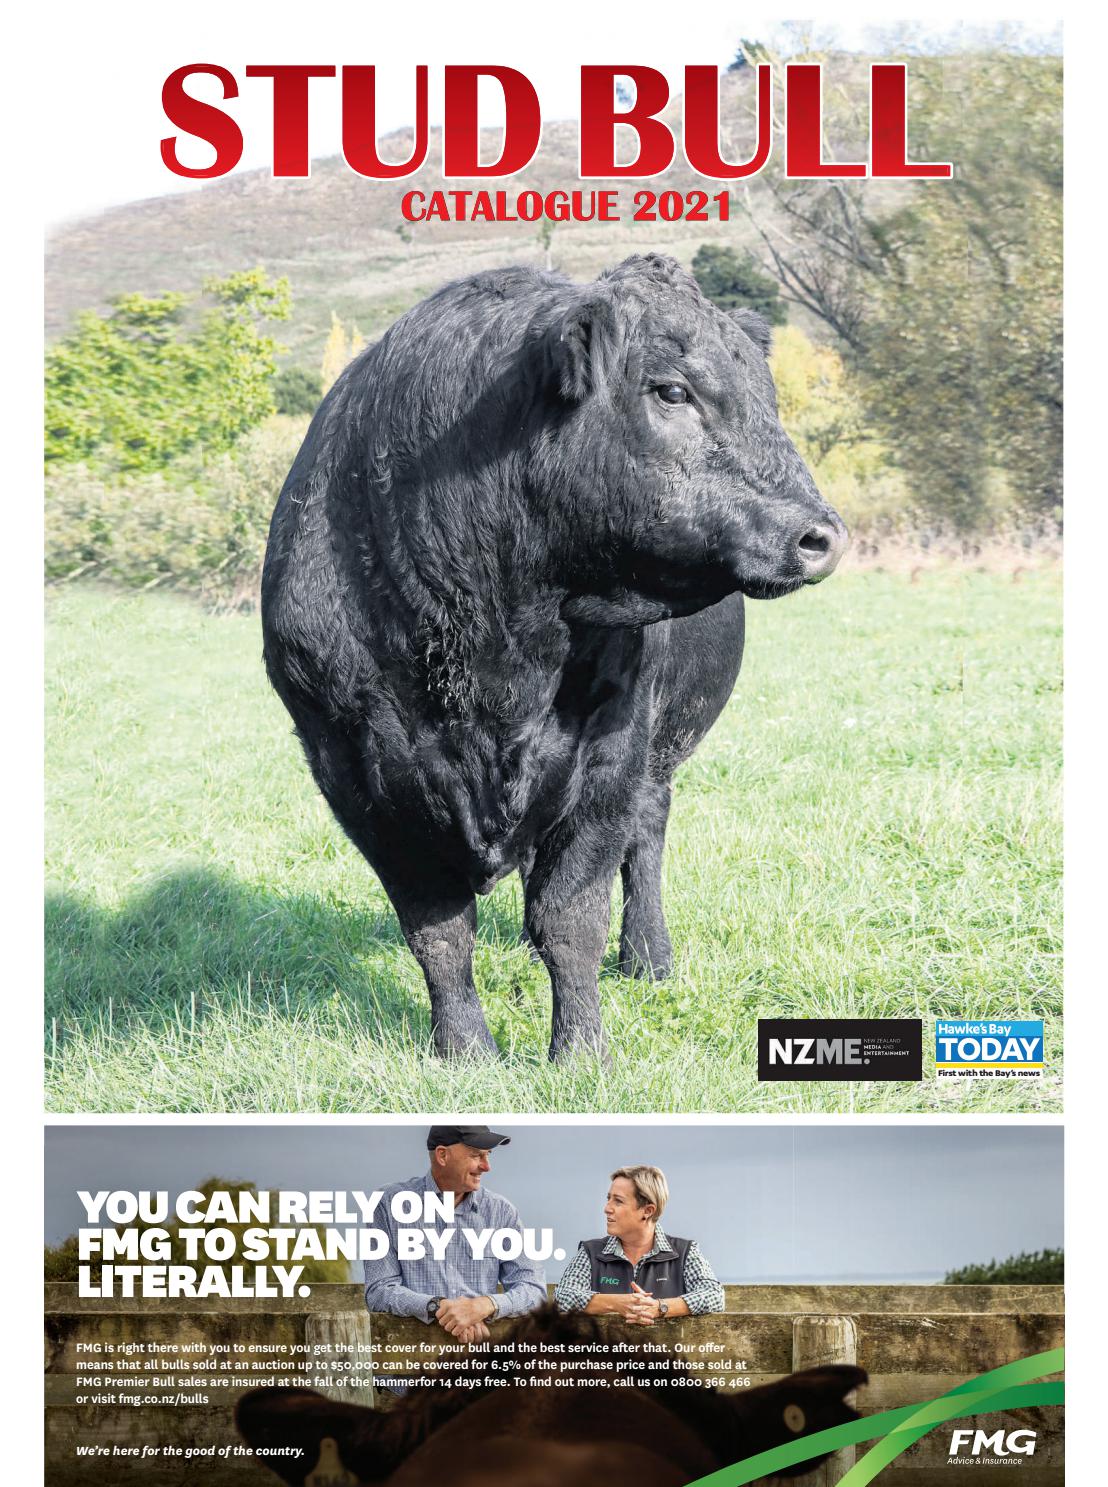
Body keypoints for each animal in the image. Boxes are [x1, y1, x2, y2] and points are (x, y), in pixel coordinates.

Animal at [261, 254, 847, 1061]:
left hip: (656, 757)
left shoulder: (610, 757)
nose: (822, 535)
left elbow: (570, 918)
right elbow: (437, 931)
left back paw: (648, 957)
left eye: (769, 395)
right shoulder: (356, 772)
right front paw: (466, 1053)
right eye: (672, 389)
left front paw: (581, 1052)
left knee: (646, 841)